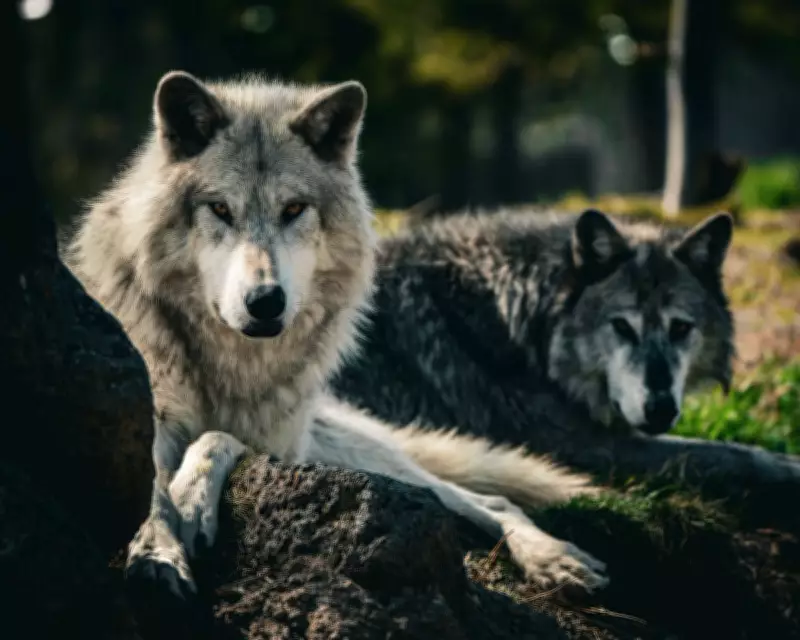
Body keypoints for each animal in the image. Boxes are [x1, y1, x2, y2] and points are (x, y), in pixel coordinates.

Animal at [64, 70, 609, 604]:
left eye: (293, 210)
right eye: (219, 209)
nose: (266, 301)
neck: (230, 365)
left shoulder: (282, 445)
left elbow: (216, 437)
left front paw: (191, 501)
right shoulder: (146, 414)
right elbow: (152, 488)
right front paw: (158, 552)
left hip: (347, 454)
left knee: (490, 499)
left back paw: (555, 558)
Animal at [331, 208, 800, 491]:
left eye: (680, 328)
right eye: (622, 326)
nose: (660, 408)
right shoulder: (588, 446)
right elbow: (726, 453)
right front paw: (786, 466)